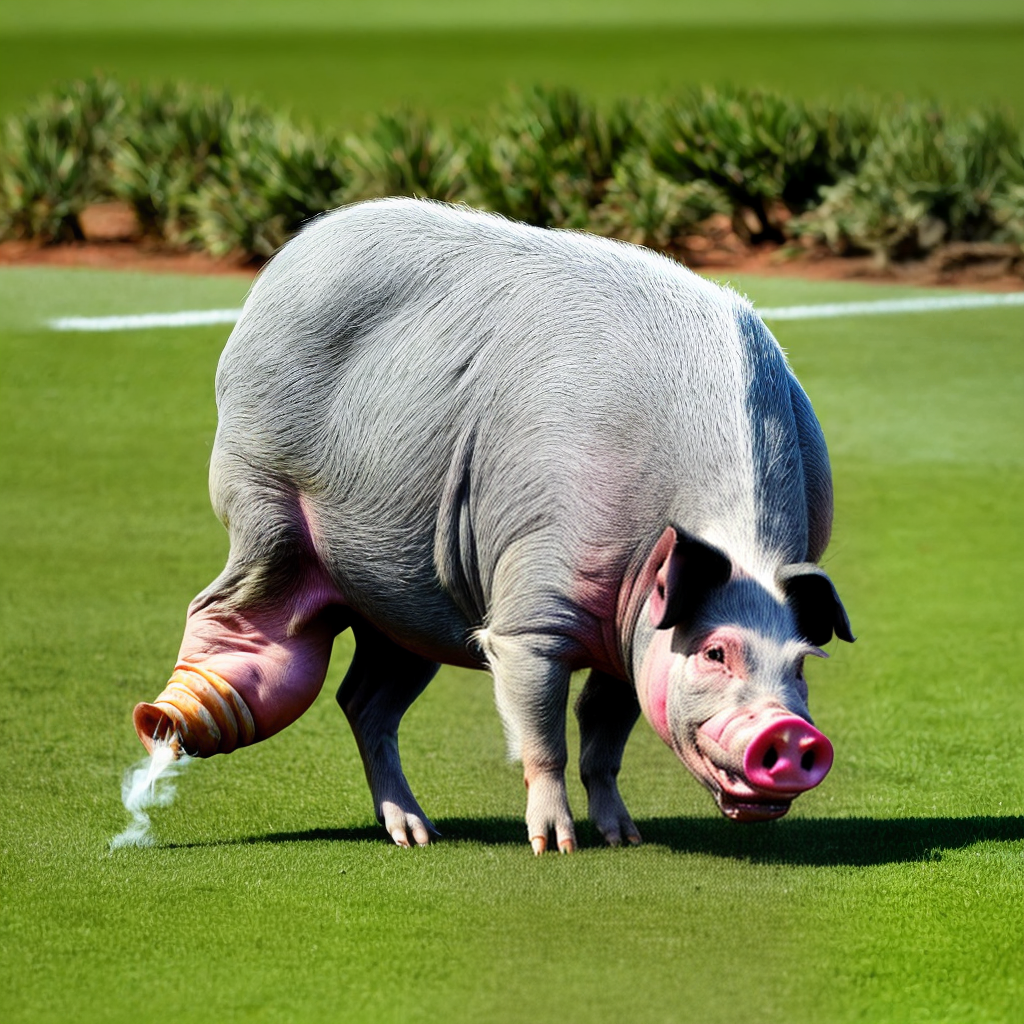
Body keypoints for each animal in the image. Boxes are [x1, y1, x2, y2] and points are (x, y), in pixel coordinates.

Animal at [134, 197, 854, 853]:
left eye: (801, 665)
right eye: (715, 652)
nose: (791, 731)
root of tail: (287, 260)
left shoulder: (632, 640)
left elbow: (603, 736)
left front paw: (626, 838)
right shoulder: (532, 606)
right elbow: (543, 729)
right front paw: (554, 846)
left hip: (403, 599)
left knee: (361, 700)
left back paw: (416, 835)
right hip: (260, 495)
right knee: (225, 609)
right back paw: (169, 723)